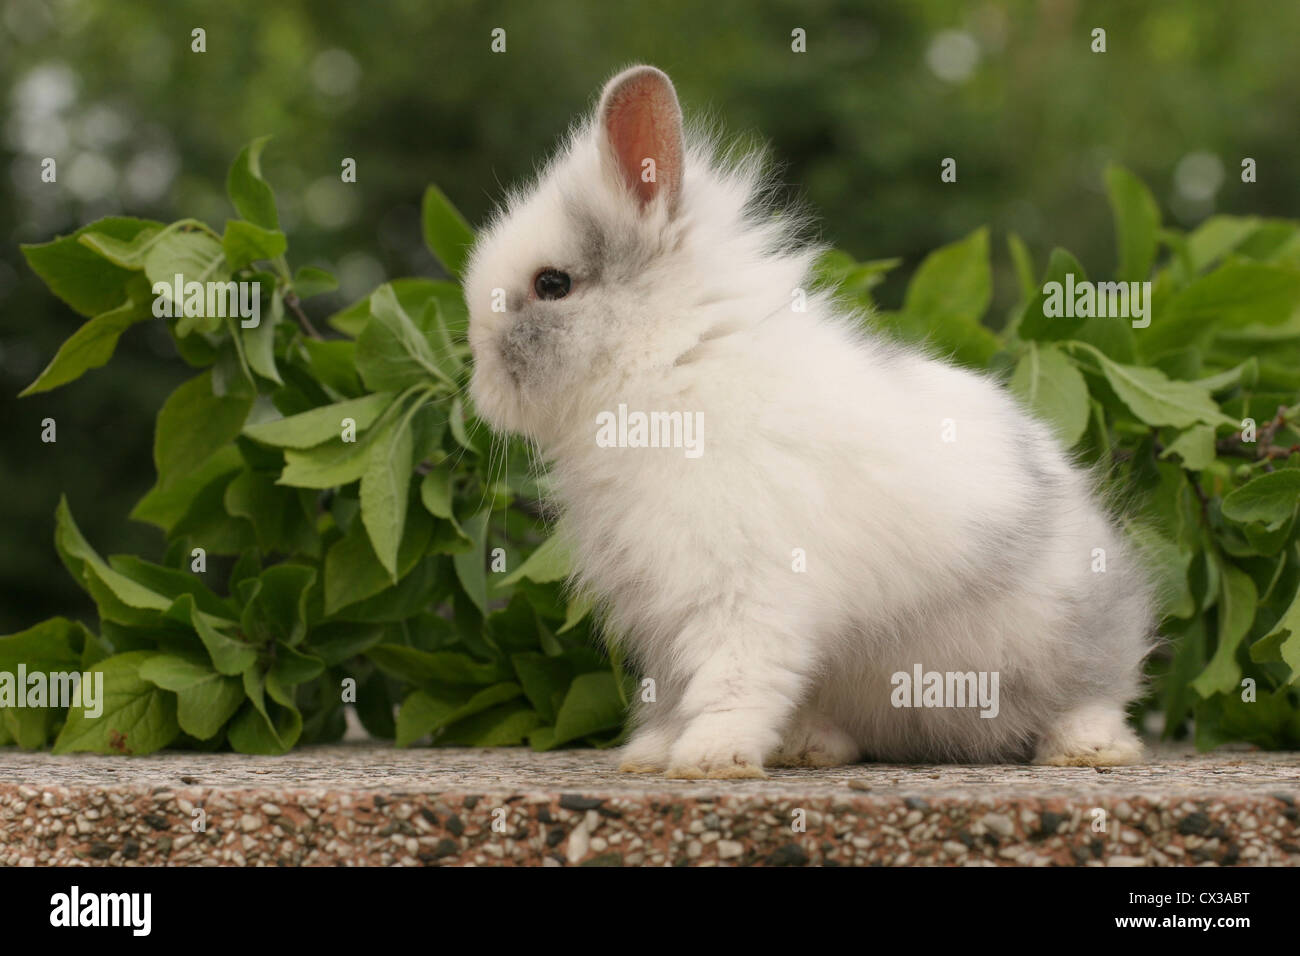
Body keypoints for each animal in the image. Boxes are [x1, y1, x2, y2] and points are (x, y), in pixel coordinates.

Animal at [463, 64, 1155, 778]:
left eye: (552, 284)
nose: (478, 375)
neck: (670, 361)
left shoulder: (745, 590)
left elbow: (733, 680)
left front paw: (708, 760)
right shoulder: (661, 609)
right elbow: (674, 692)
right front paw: (651, 756)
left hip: (1071, 634)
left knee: (1099, 688)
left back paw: (1088, 748)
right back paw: (808, 746)